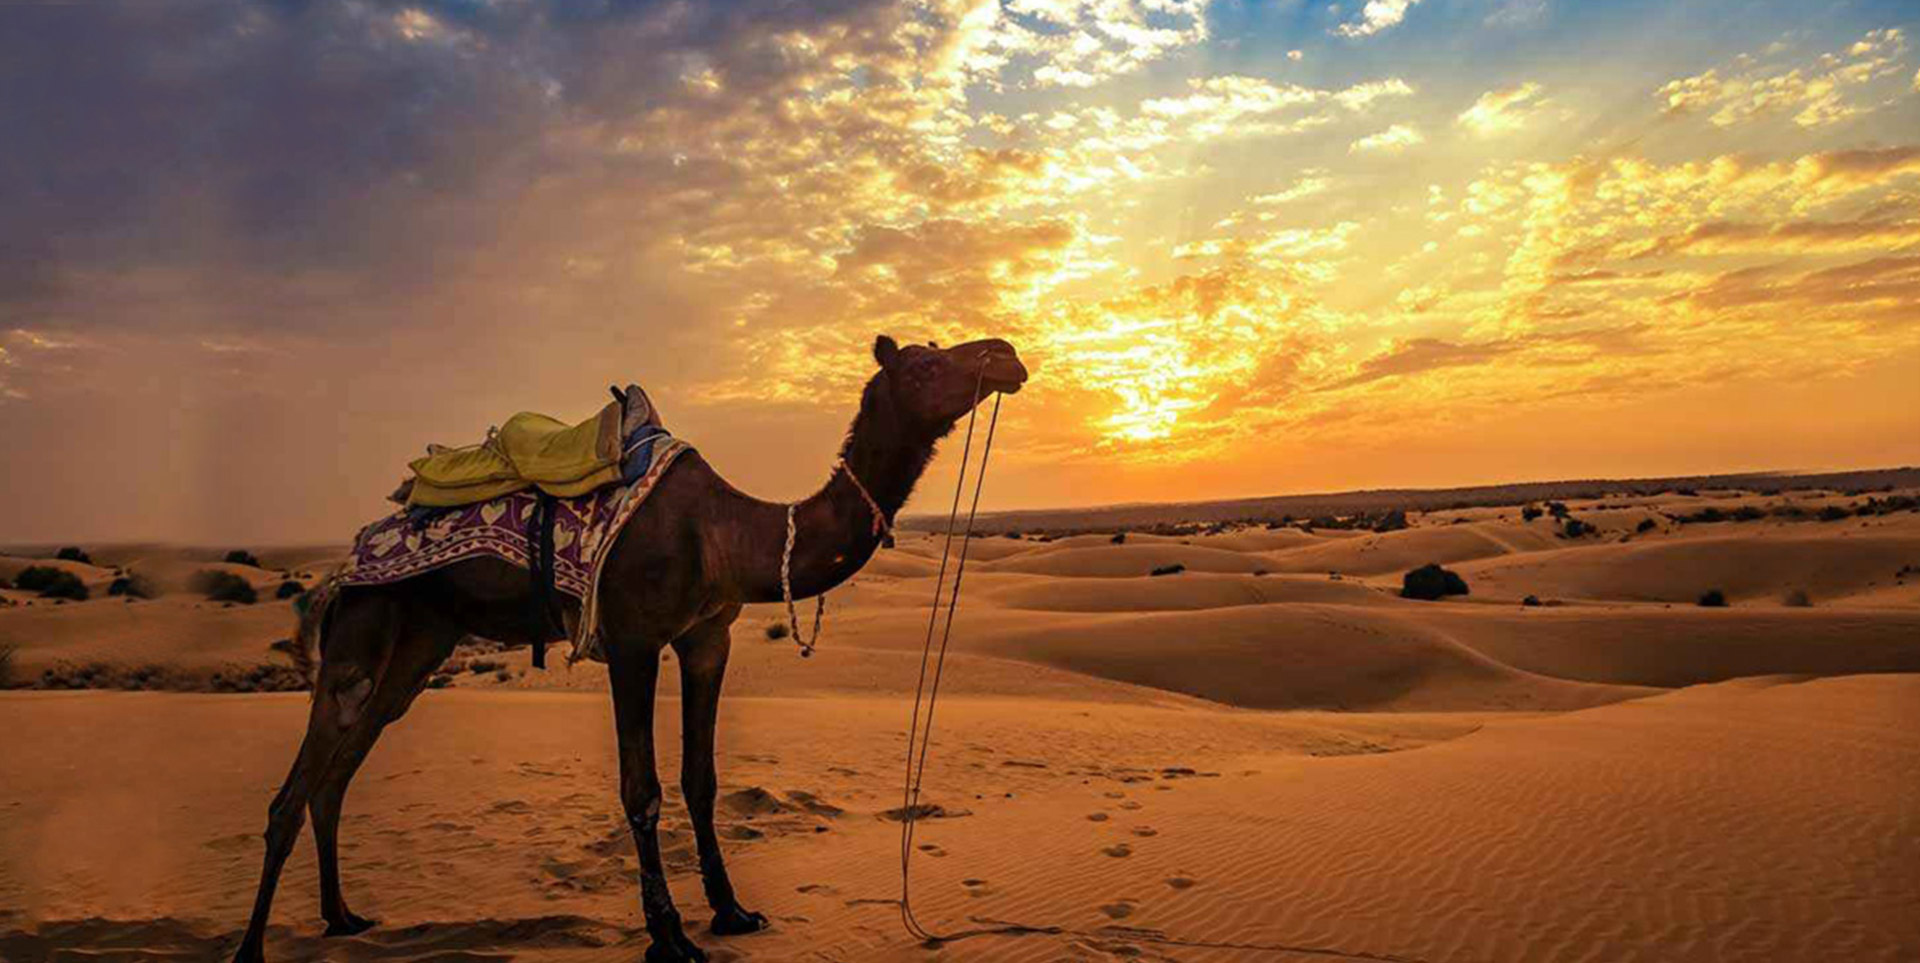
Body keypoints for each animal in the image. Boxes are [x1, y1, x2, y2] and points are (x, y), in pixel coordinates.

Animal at [231, 335, 1029, 963]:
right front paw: (669, 935)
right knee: (296, 785)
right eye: (926, 363)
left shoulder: (708, 637)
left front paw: (732, 911)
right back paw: (251, 948)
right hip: (365, 627)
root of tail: (356, 548)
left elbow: (701, 778)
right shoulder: (635, 639)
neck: (730, 531)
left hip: (423, 640)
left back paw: (342, 916)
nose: (1008, 354)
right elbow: (640, 788)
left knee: (338, 775)